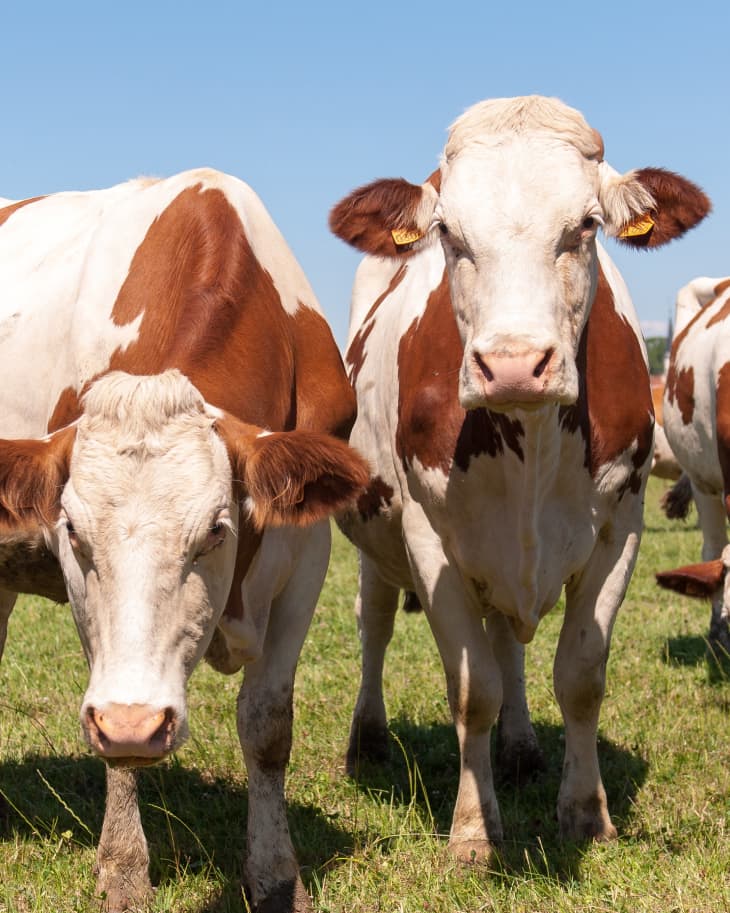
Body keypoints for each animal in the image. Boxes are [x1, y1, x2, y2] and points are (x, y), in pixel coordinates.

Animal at [0, 169, 369, 913]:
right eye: (73, 530)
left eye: (216, 528)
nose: (136, 723)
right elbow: (115, 733)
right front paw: (123, 868)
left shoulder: (307, 556)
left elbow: (267, 726)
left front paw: (275, 874)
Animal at [329, 95, 710, 859]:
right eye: (448, 232)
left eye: (586, 225)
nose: (511, 364)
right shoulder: (430, 539)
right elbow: (472, 687)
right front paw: (474, 832)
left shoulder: (619, 529)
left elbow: (580, 676)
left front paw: (586, 812)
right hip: (379, 537)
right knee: (375, 624)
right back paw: (370, 739)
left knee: (505, 637)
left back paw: (521, 745)